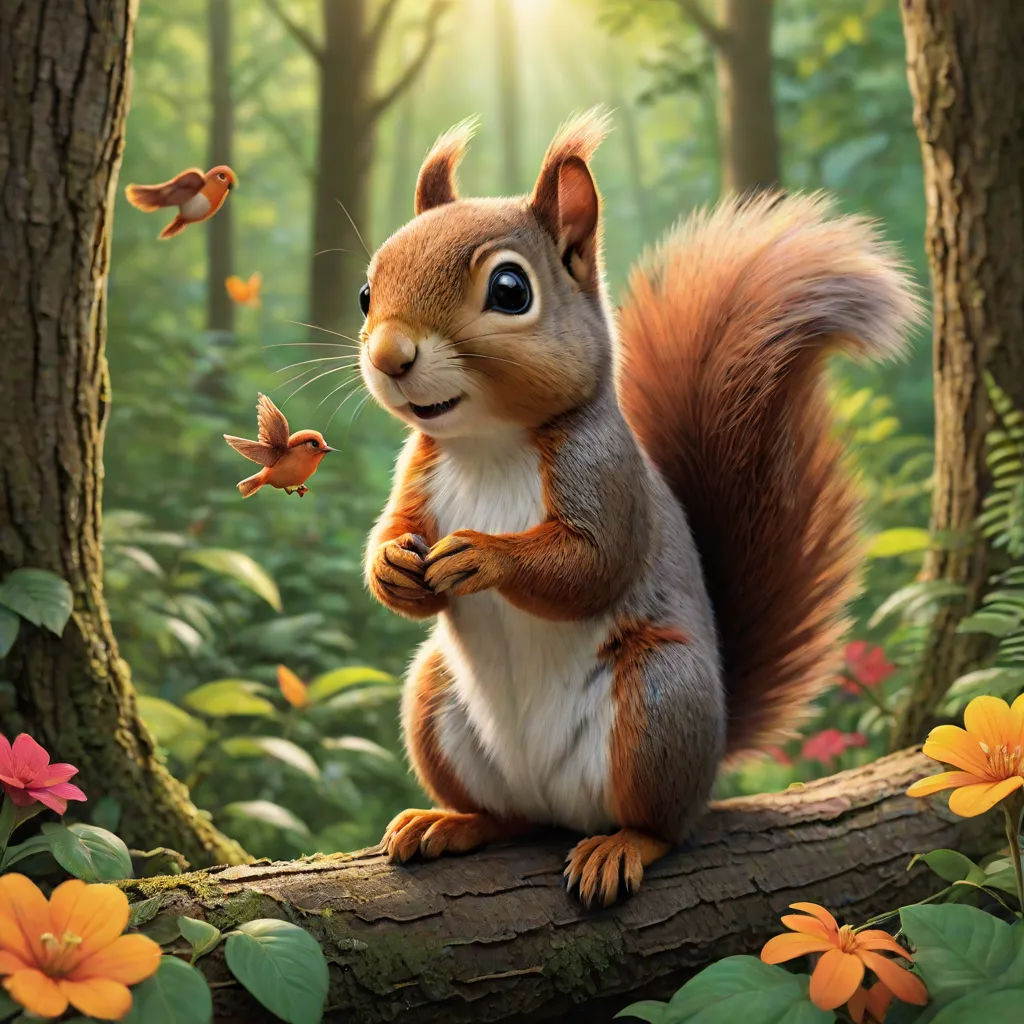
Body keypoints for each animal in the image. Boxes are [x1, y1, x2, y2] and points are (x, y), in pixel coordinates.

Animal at [358, 110, 917, 907]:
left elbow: (591, 566)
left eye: (509, 290)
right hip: (435, 699)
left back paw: (619, 847)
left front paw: (482, 554)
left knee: (661, 825)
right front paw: (391, 567)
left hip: (659, 698)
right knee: (507, 816)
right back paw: (453, 823)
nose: (388, 357)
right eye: (367, 292)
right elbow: (398, 535)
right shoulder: (418, 470)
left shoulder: (607, 476)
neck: (490, 443)